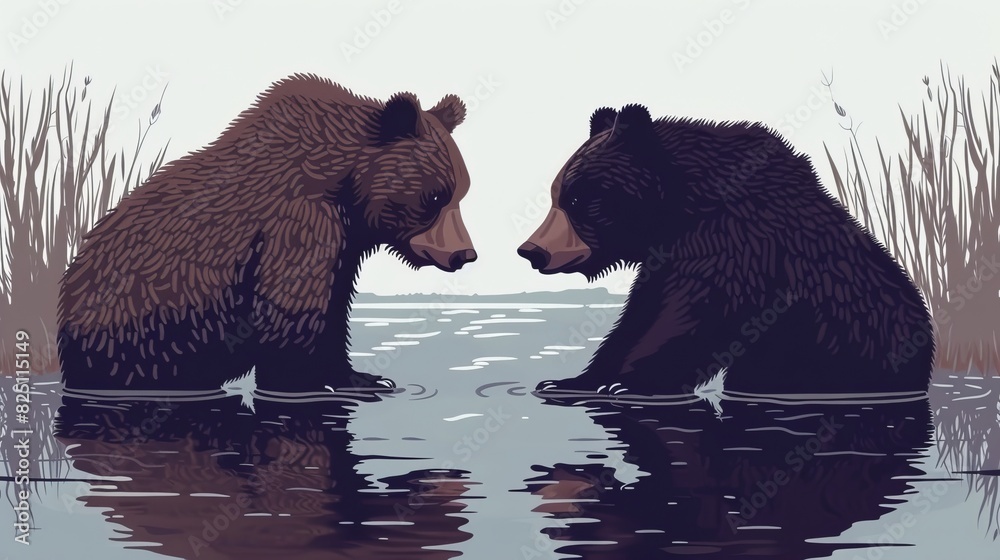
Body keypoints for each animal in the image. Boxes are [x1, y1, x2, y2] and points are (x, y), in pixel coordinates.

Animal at [58, 75, 477, 392]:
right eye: (435, 196)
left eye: (462, 191)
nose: (464, 254)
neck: (345, 186)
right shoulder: (298, 224)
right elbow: (290, 319)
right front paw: (305, 384)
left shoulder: (343, 246)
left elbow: (333, 311)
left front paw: (364, 378)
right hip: (141, 333)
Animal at [518, 104, 934, 396]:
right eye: (556, 195)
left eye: (576, 199)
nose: (532, 250)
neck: (681, 214)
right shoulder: (666, 258)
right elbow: (640, 314)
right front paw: (570, 381)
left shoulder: (737, 247)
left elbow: (690, 317)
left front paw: (627, 383)